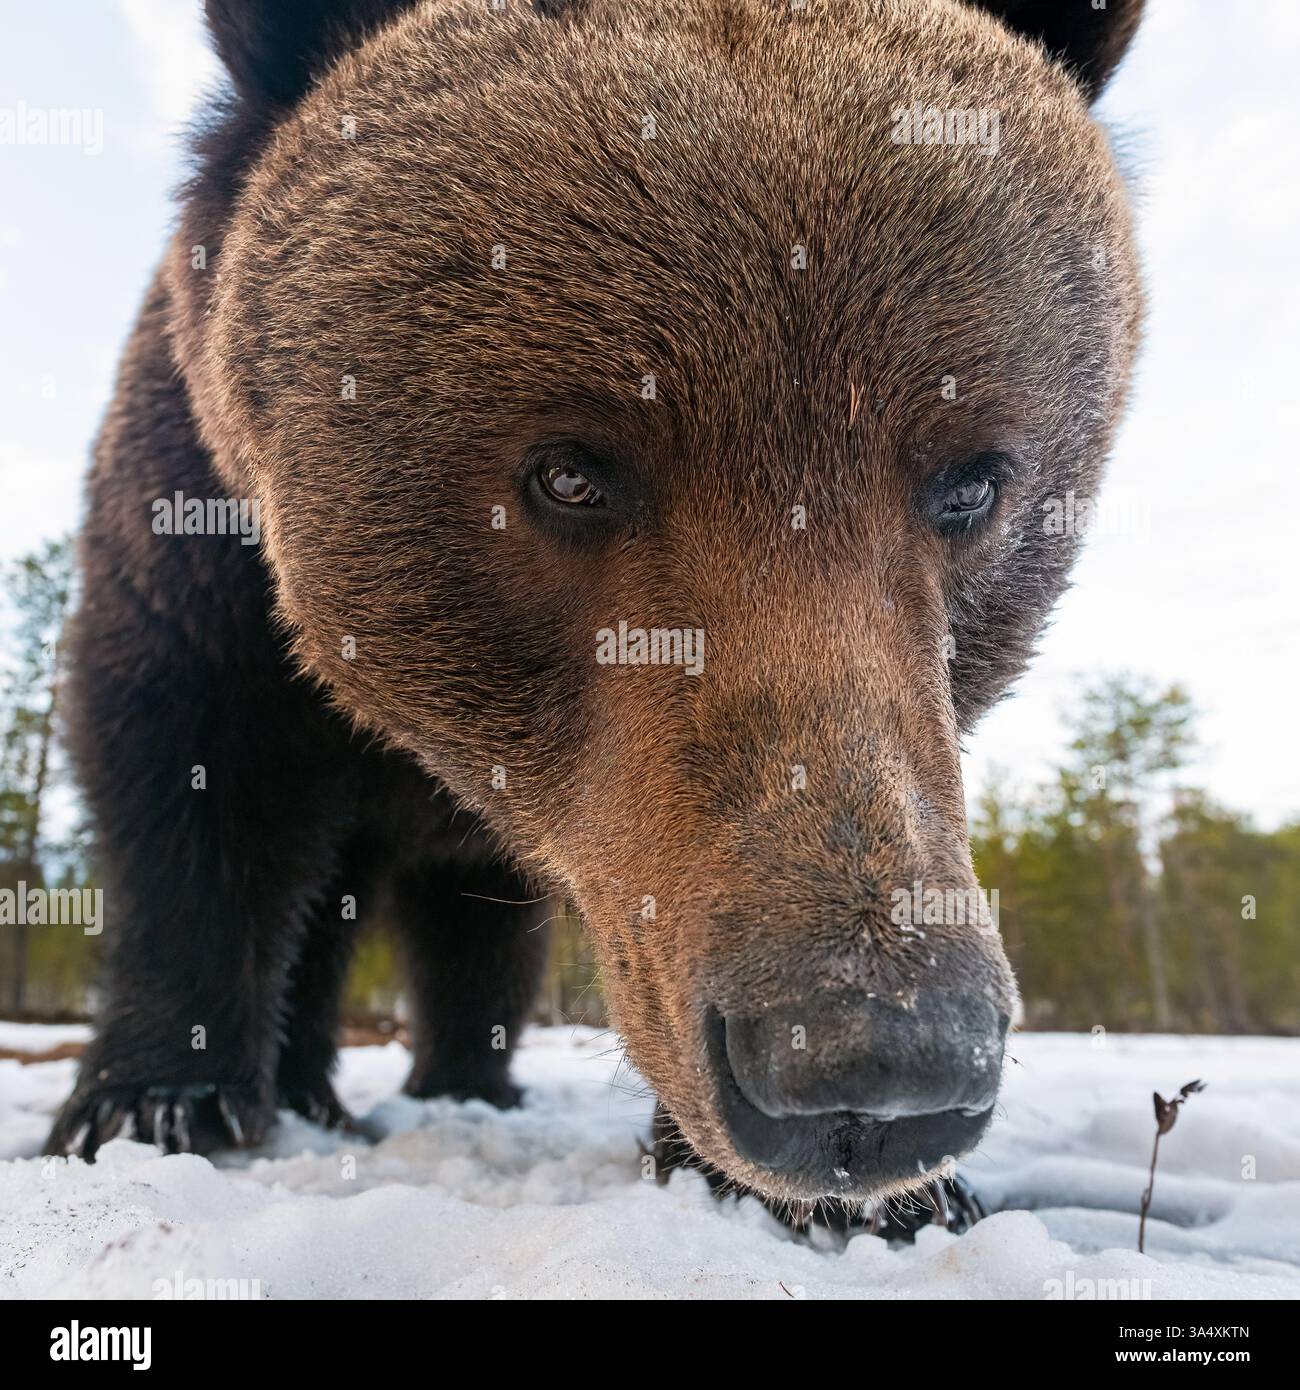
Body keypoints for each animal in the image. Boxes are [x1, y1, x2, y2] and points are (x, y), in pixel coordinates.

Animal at [47, 0, 1144, 1218]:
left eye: (971, 482)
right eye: (568, 473)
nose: (877, 1059)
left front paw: (868, 1197)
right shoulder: (198, 549)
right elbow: (187, 775)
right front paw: (154, 1100)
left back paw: (462, 1081)